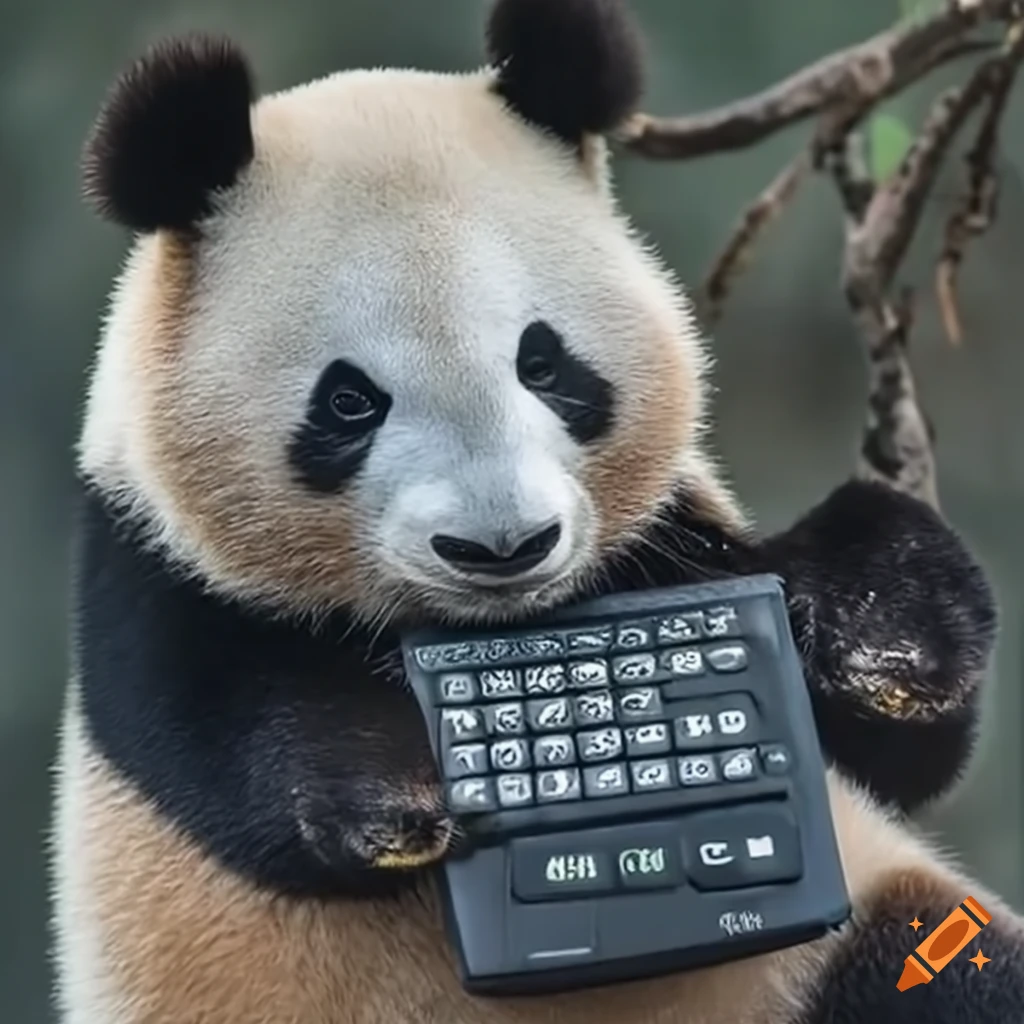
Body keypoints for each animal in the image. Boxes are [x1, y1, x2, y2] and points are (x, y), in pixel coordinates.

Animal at [50, 0, 1024, 1021]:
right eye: (349, 402)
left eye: (543, 362)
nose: (503, 547)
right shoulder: (150, 585)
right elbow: (238, 743)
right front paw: (400, 795)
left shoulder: (665, 541)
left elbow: (898, 756)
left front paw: (887, 633)